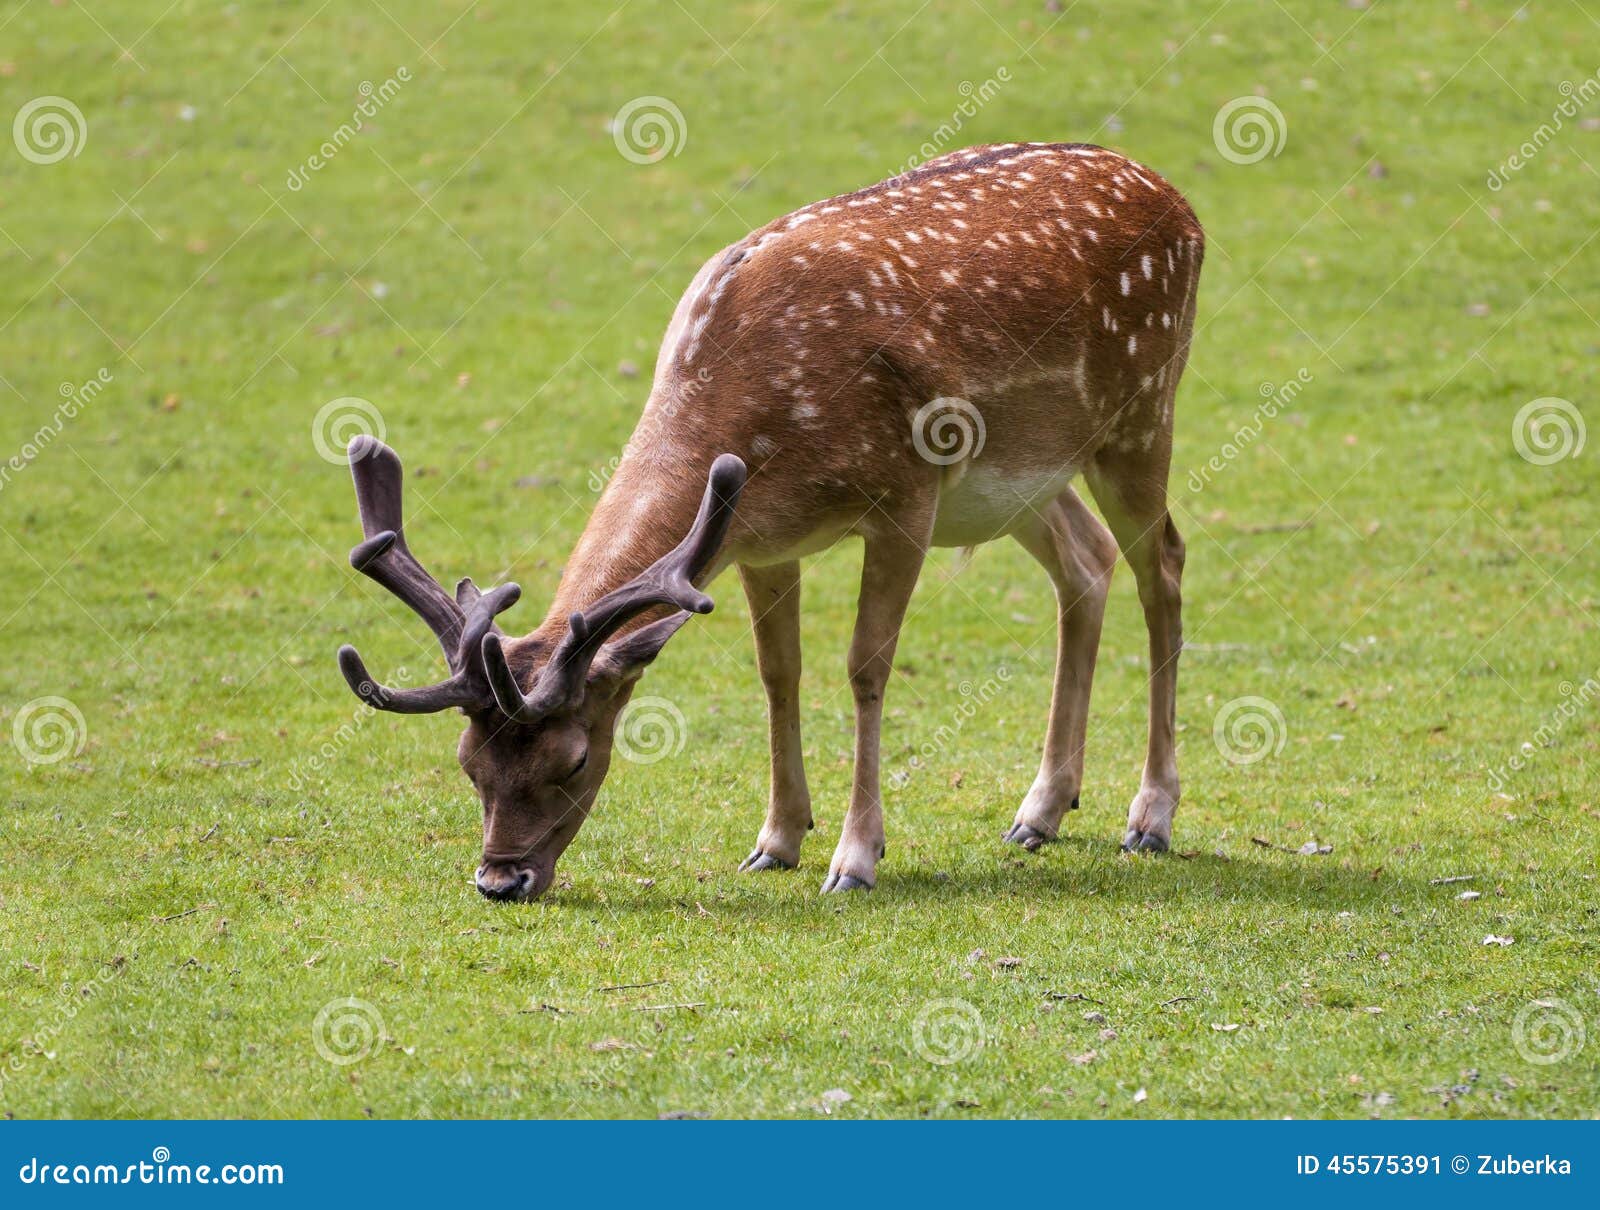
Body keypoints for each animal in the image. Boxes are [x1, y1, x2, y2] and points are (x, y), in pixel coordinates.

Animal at [335, 142, 1204, 901]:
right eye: (467, 763)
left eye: (574, 760)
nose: (499, 880)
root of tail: (1178, 198)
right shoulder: (756, 539)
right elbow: (778, 671)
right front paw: (777, 840)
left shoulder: (905, 496)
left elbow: (865, 668)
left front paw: (856, 858)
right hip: (1025, 476)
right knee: (1085, 561)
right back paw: (1041, 811)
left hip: (1141, 414)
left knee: (1162, 560)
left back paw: (1150, 816)